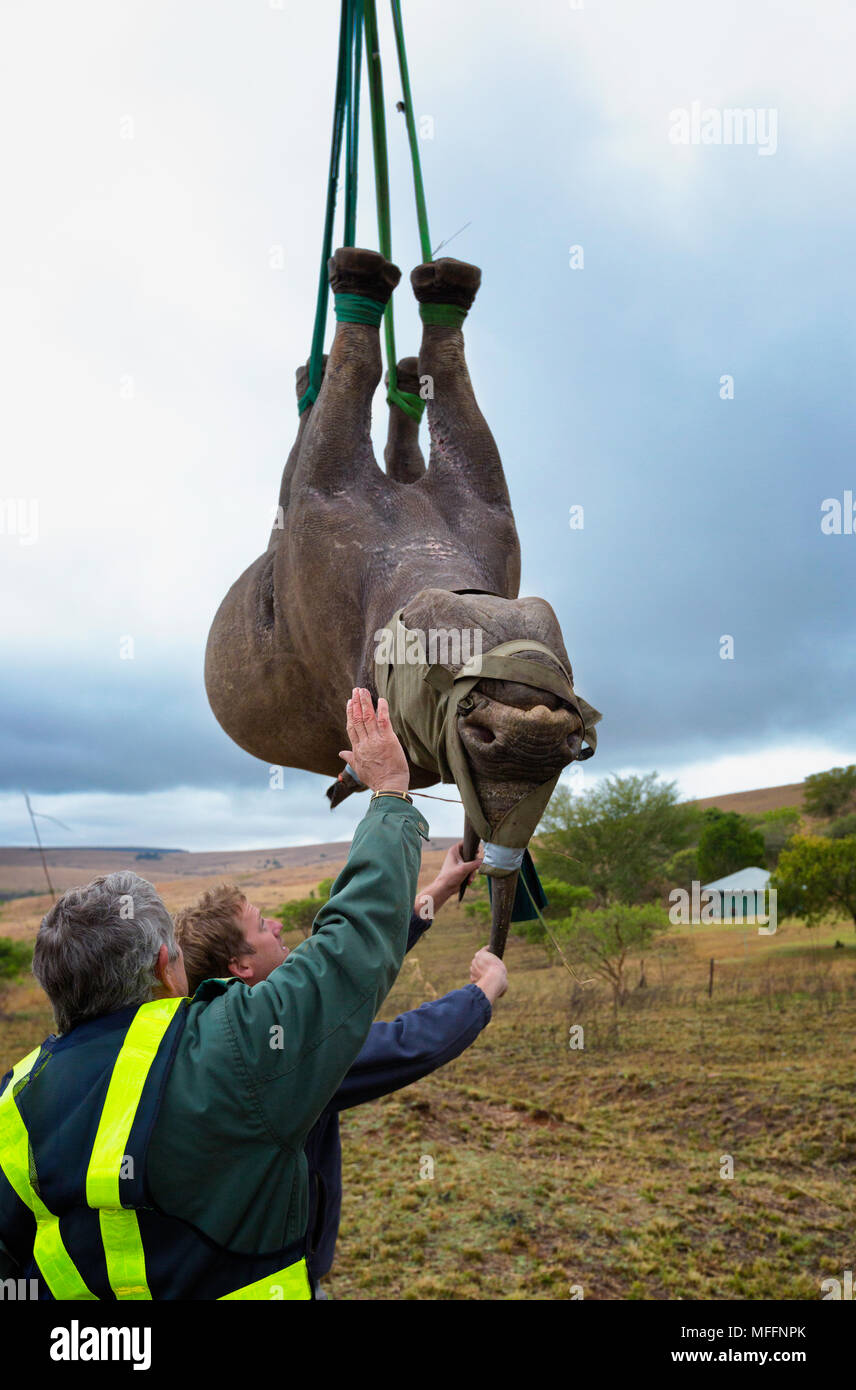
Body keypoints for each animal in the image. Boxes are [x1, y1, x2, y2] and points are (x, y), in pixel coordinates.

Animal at [205, 247, 600, 955]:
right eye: (442, 671)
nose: (526, 731)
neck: (421, 553)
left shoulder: (481, 505)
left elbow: (444, 384)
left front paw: (431, 295)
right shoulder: (320, 519)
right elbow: (349, 390)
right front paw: (365, 279)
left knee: (390, 431)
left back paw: (406, 352)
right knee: (326, 419)